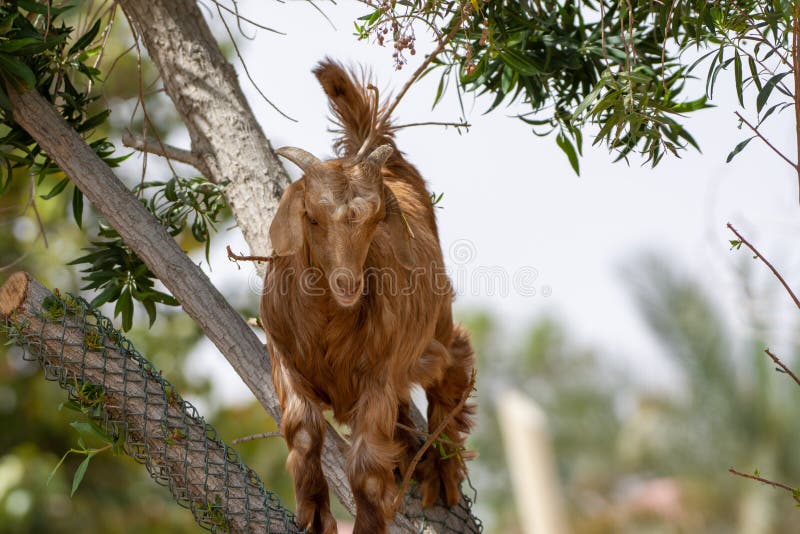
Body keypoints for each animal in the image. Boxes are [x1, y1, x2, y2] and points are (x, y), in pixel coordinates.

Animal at [259, 59, 475, 534]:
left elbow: (364, 469)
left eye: (377, 219)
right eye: (312, 217)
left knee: (453, 368)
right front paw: (313, 514)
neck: (327, 322)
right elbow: (304, 434)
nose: (347, 284)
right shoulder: (284, 358)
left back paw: (442, 474)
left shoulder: (378, 377)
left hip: (436, 325)